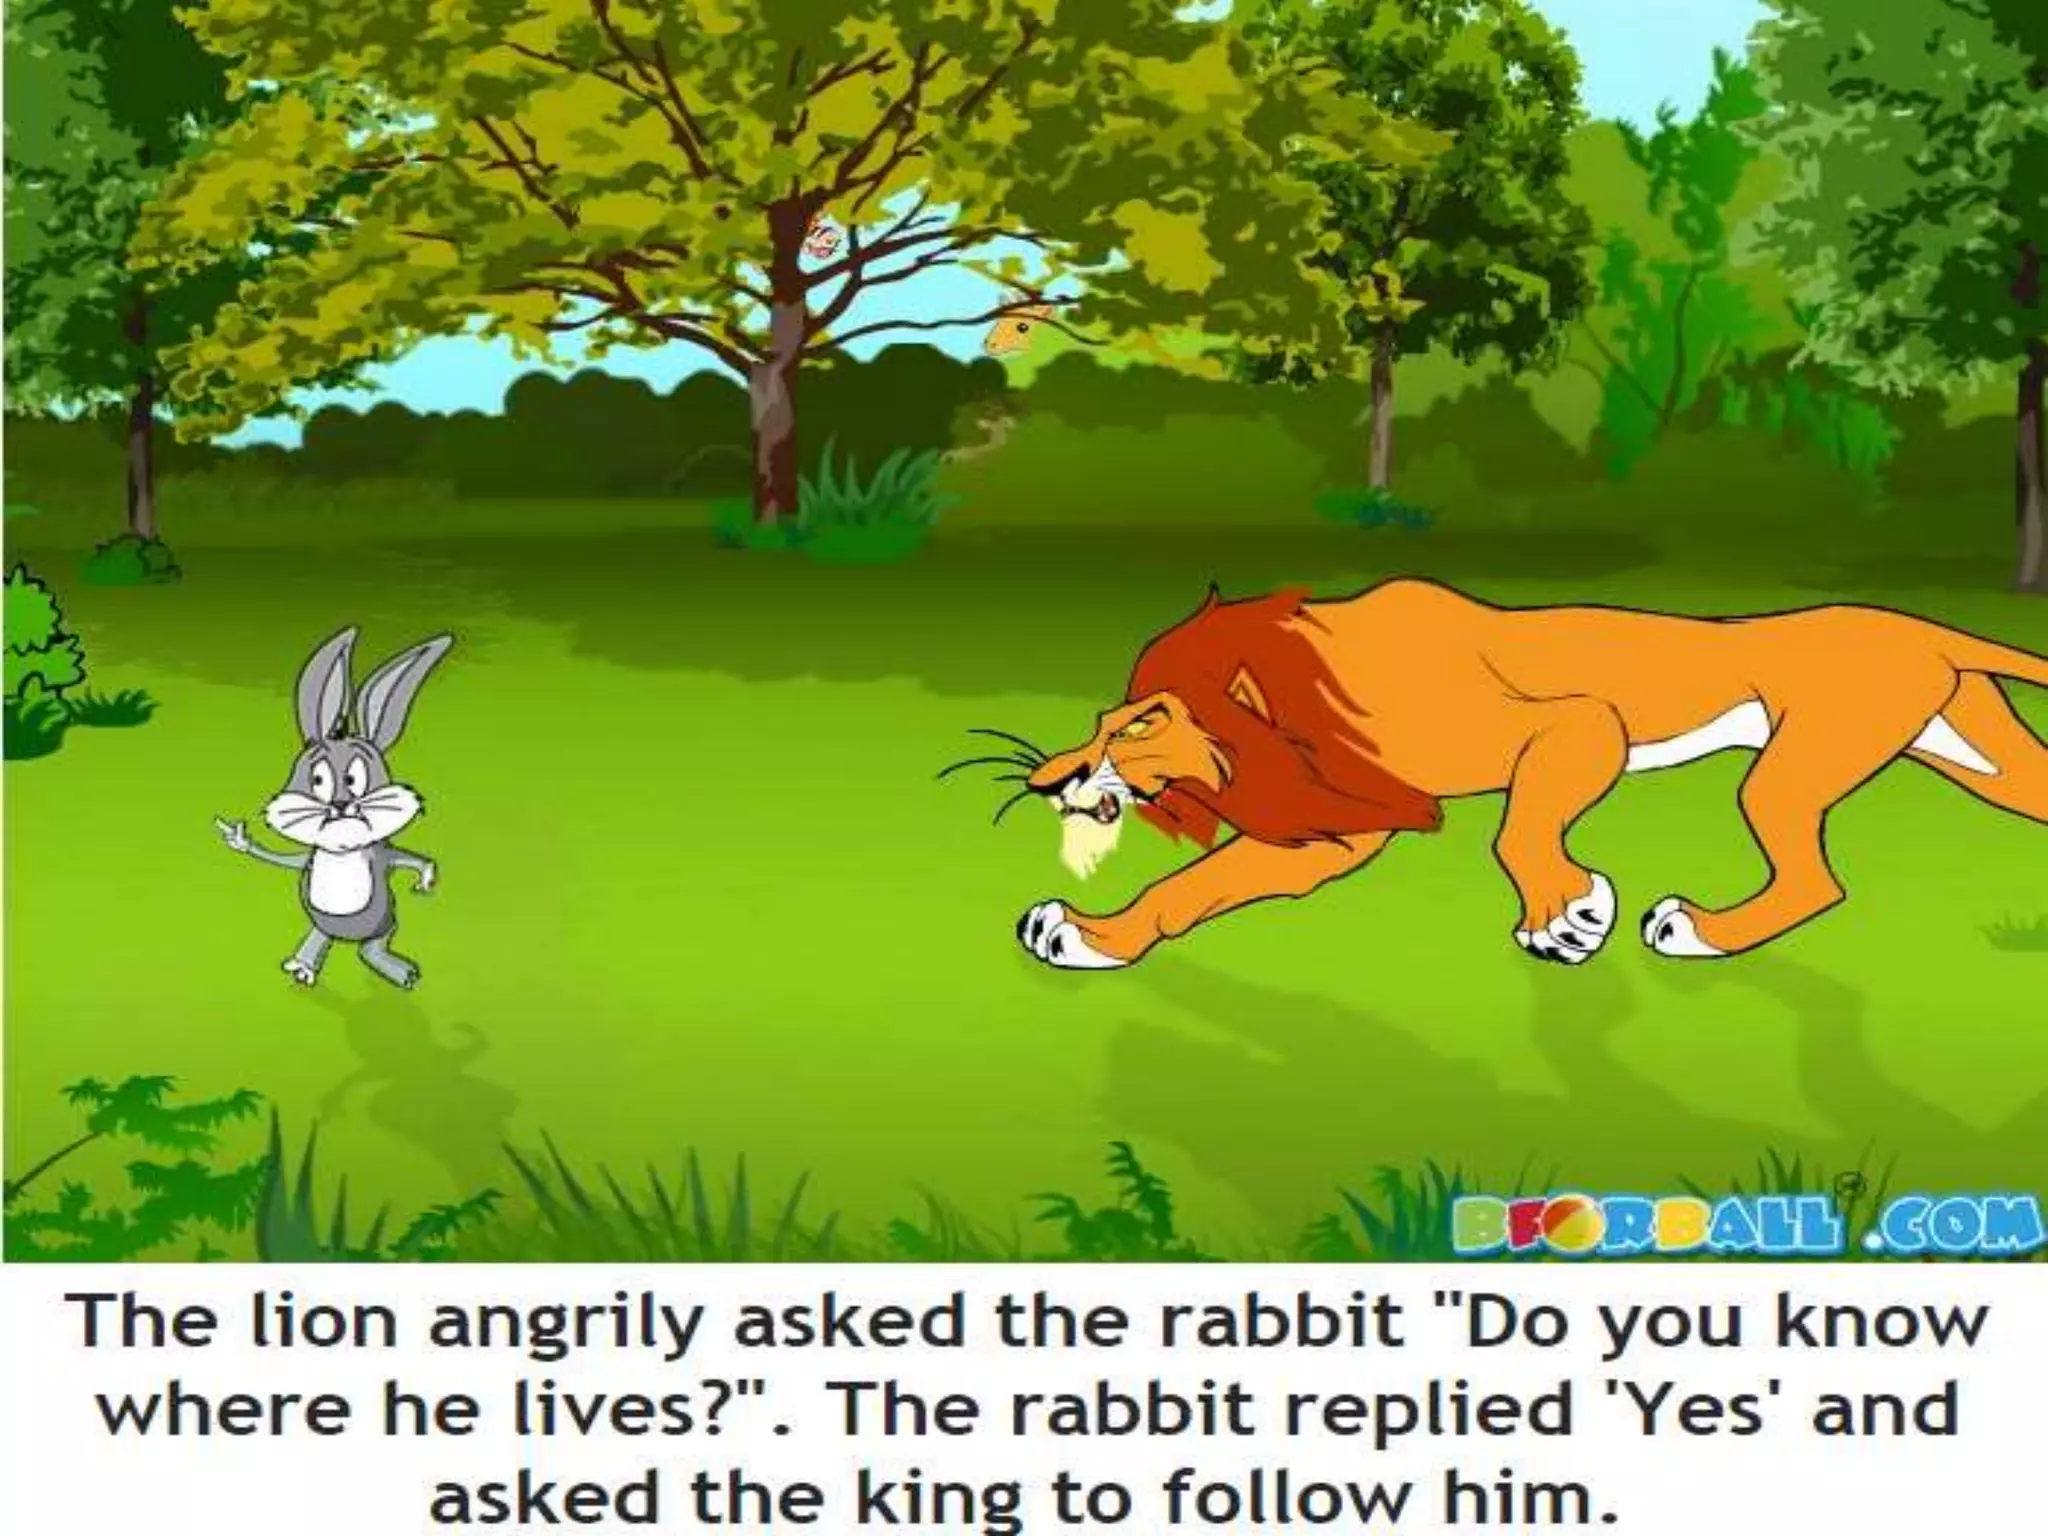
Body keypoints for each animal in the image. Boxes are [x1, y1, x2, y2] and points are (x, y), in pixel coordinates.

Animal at [216, 627, 453, 990]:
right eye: (317, 779)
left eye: (355, 779)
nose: (340, 804)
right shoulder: (310, 860)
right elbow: (287, 861)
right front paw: (239, 839)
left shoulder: (380, 855)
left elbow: (405, 857)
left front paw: (425, 878)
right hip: (324, 925)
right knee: (319, 937)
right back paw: (303, 967)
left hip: (385, 924)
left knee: (370, 949)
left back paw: (399, 972)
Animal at [962, 579, 2048, 971]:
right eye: (1103, 719)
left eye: (1143, 720)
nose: (1045, 779)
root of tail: (1925, 628)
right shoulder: (1335, 832)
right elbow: (1189, 889)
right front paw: (1089, 937)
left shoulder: (1581, 723)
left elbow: (1514, 828)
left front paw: (1565, 918)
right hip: (1975, 746)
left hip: (1789, 768)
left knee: (1815, 880)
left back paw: (1696, 931)